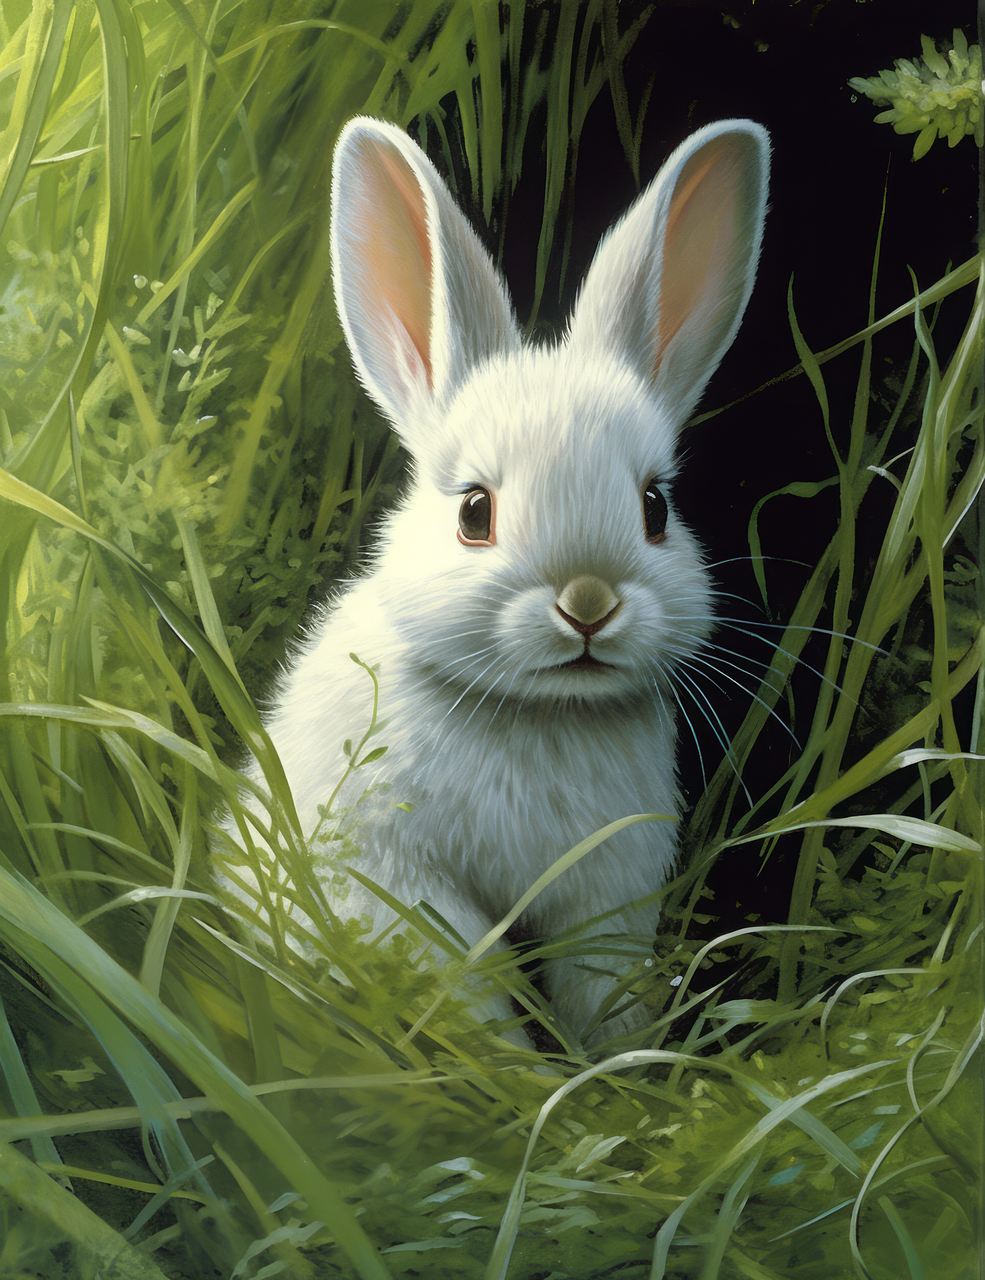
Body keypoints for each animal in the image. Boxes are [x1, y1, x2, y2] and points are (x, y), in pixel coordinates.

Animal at [219, 114, 769, 1050]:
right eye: (475, 512)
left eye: (655, 507)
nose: (588, 604)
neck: (539, 712)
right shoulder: (396, 878)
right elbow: (463, 984)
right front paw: (516, 1076)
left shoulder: (611, 889)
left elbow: (601, 990)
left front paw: (615, 1070)